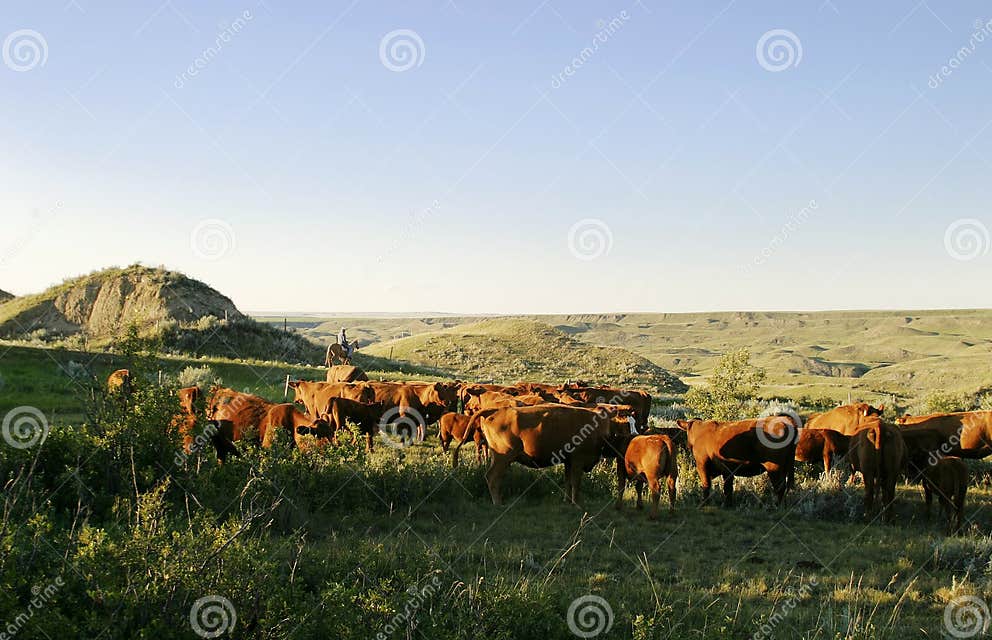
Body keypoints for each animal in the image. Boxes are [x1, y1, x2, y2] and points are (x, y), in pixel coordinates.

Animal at [453, 404, 626, 506]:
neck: (596, 425)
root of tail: (497, 410)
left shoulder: (569, 462)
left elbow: (568, 482)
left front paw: (567, 501)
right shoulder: (577, 461)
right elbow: (576, 483)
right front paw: (576, 503)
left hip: (498, 458)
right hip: (503, 457)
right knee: (492, 477)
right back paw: (498, 503)